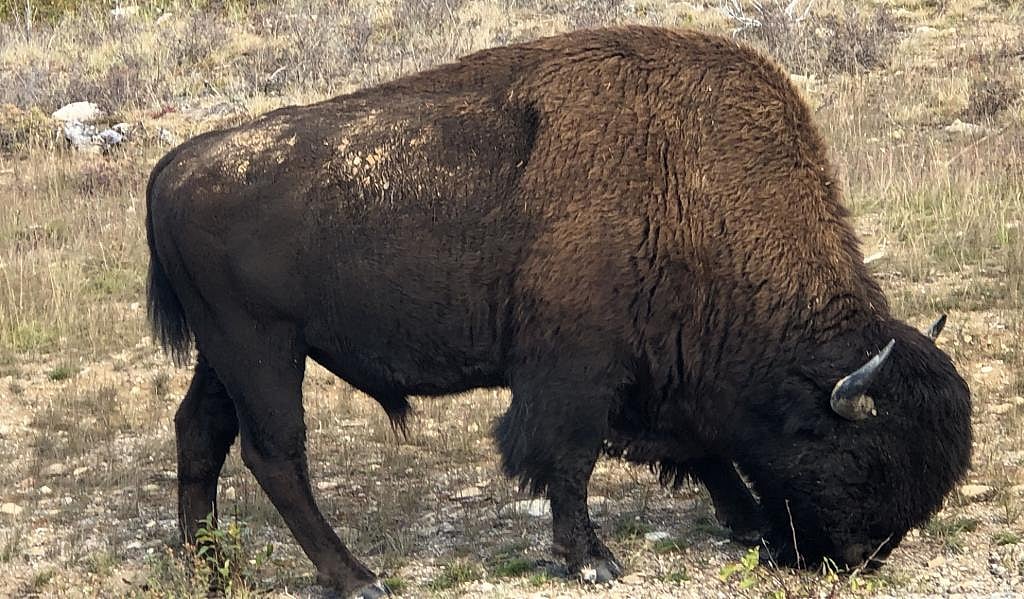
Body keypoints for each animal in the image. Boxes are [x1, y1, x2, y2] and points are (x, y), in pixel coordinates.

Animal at [146, 26, 972, 597]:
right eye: (864, 458)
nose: (853, 559)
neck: (687, 186)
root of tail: (174, 166)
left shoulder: (656, 372)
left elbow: (699, 447)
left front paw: (744, 523)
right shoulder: (574, 373)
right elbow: (569, 459)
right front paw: (595, 559)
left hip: (227, 356)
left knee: (200, 432)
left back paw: (207, 566)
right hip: (262, 348)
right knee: (276, 452)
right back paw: (357, 576)